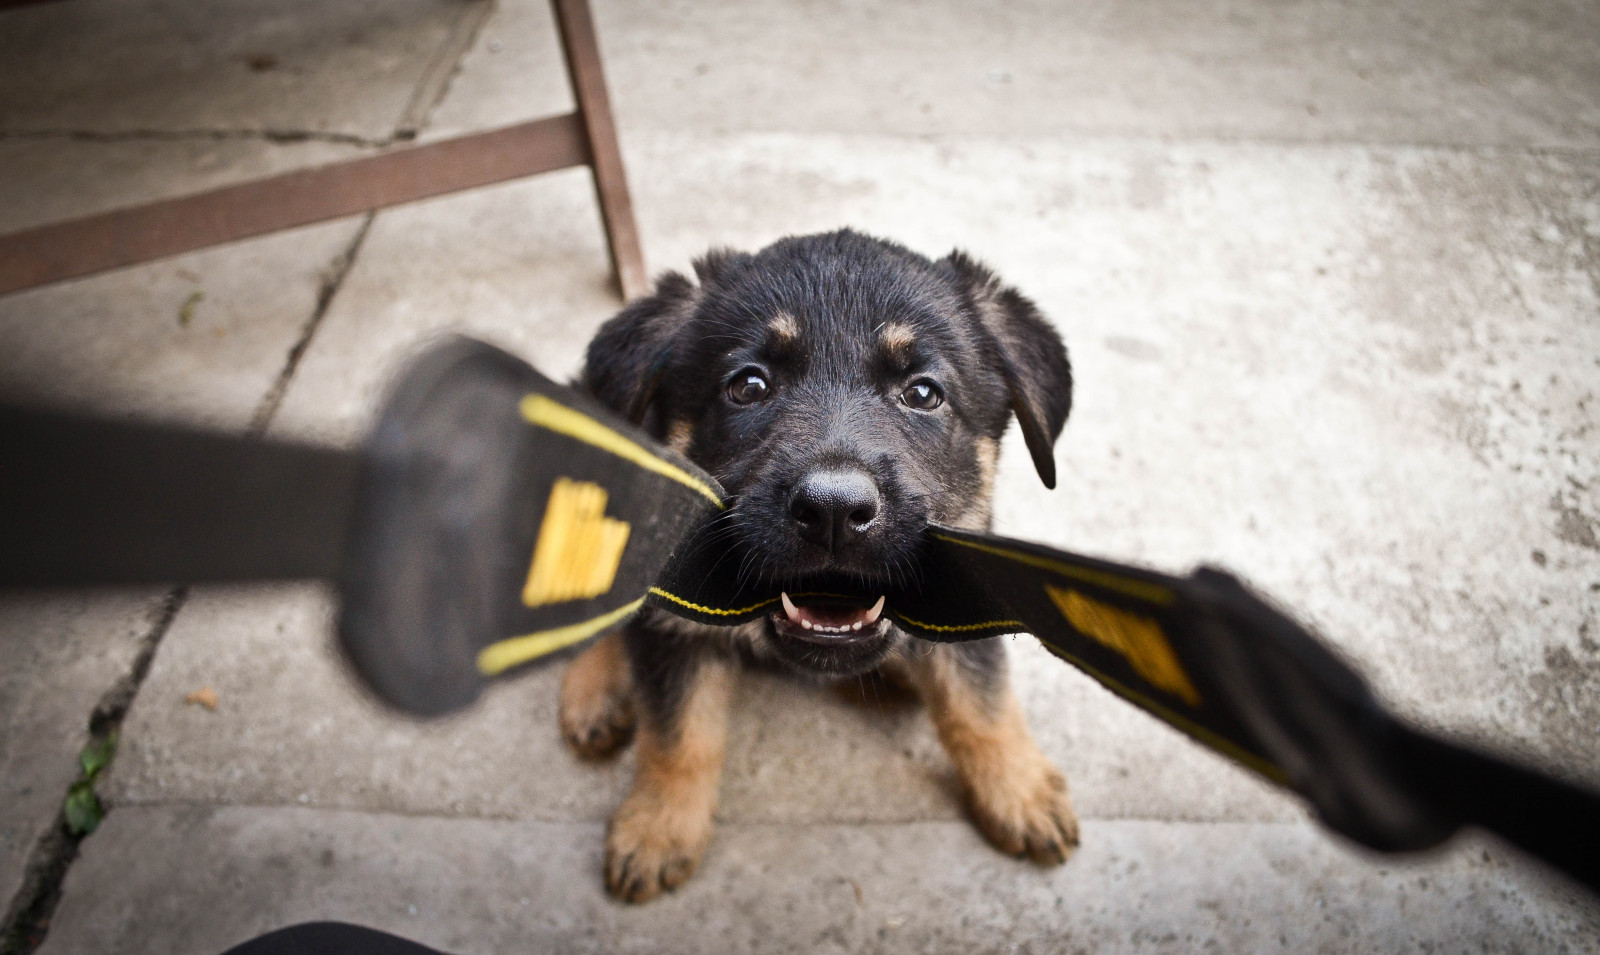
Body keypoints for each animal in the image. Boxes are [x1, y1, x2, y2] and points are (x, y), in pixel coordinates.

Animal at [560, 227, 1075, 895]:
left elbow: (981, 702)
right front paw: (658, 825)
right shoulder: (674, 616)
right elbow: (680, 735)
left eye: (923, 393)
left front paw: (1020, 789)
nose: (834, 510)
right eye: (748, 386)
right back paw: (595, 689)